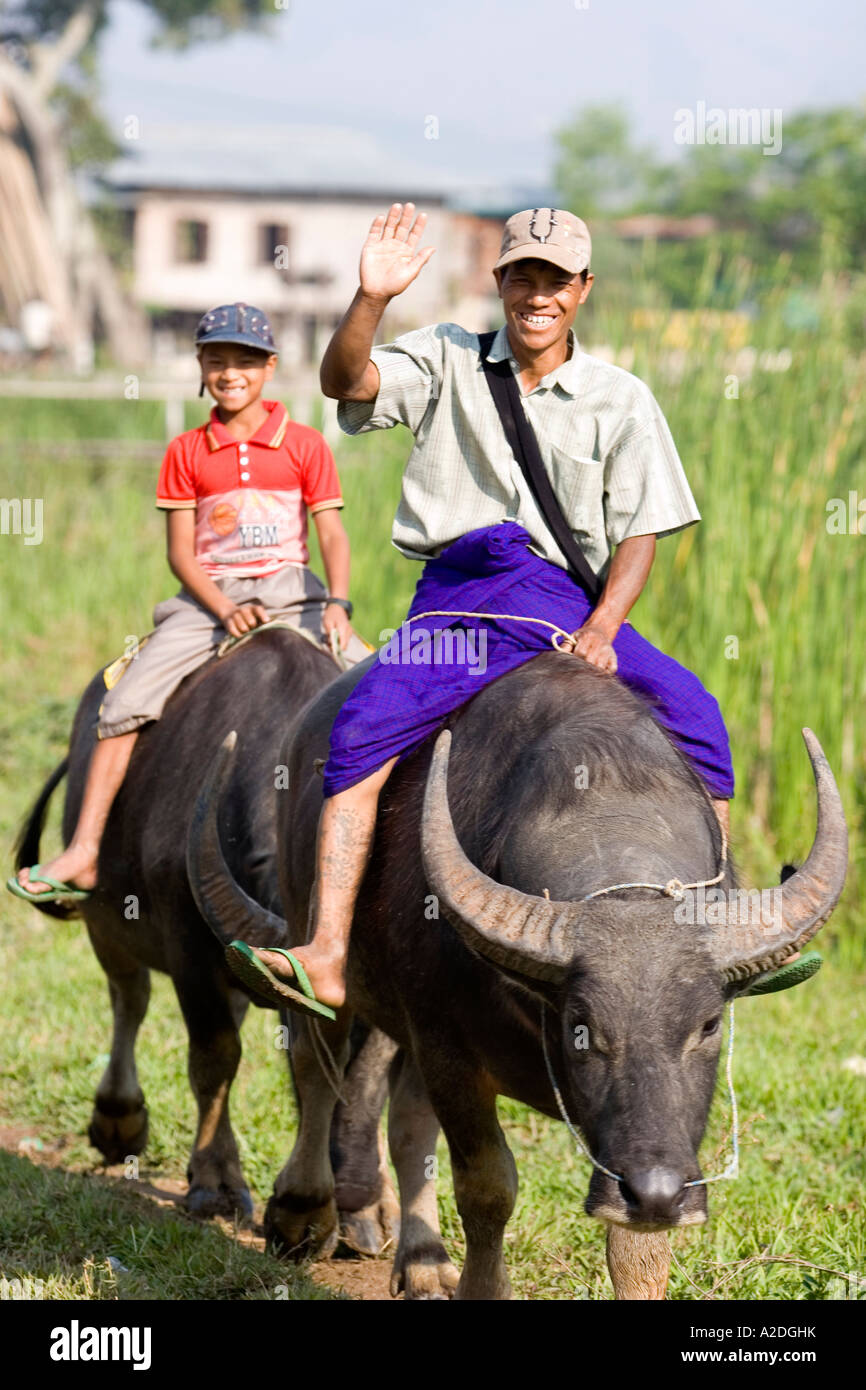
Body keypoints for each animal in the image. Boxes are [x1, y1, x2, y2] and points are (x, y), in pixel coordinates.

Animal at [190, 647, 847, 1299]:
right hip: (317, 930)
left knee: (405, 1124)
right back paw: (301, 1212)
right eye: (582, 1026)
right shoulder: (449, 1050)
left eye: (709, 1026)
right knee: (317, 1062)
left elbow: (637, 1247)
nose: (658, 1193)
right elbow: (487, 1188)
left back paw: (423, 1259)